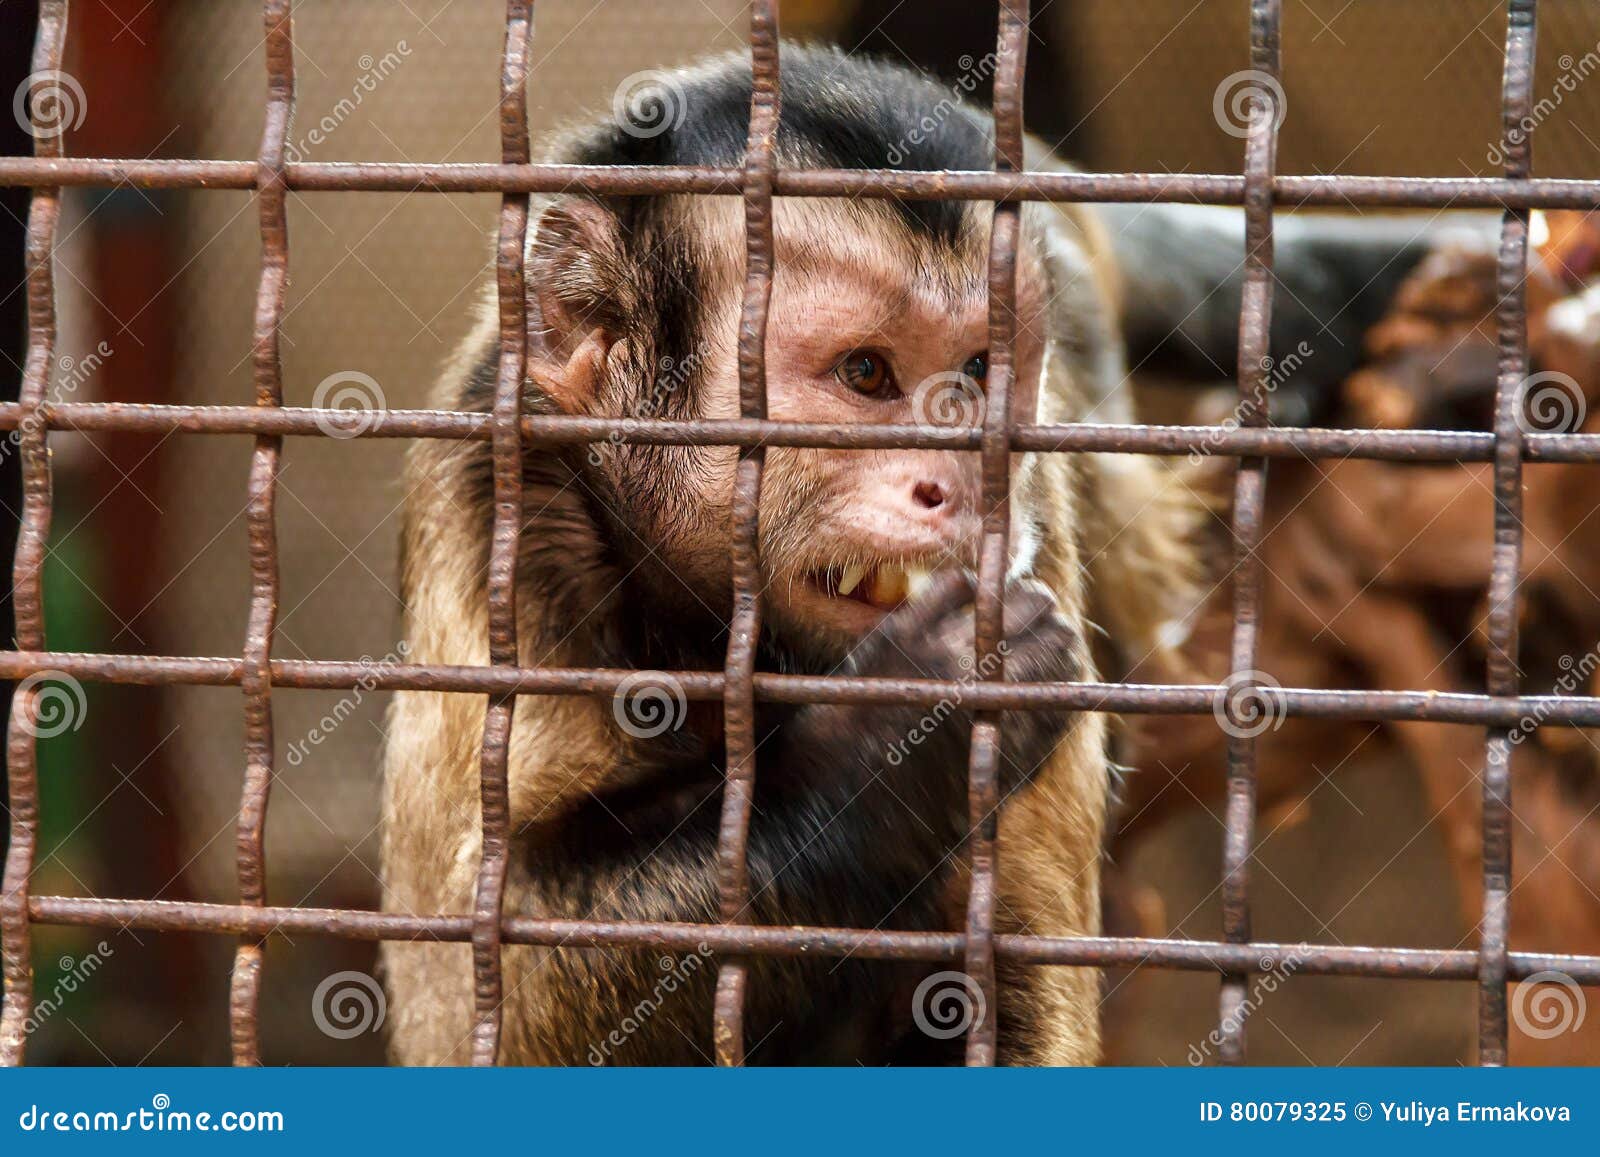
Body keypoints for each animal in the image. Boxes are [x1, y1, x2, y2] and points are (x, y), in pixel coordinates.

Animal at [378, 43, 1437, 1066]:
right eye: (866, 374)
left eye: (977, 372)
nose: (961, 483)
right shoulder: (507, 512)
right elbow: (481, 986)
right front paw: (894, 741)